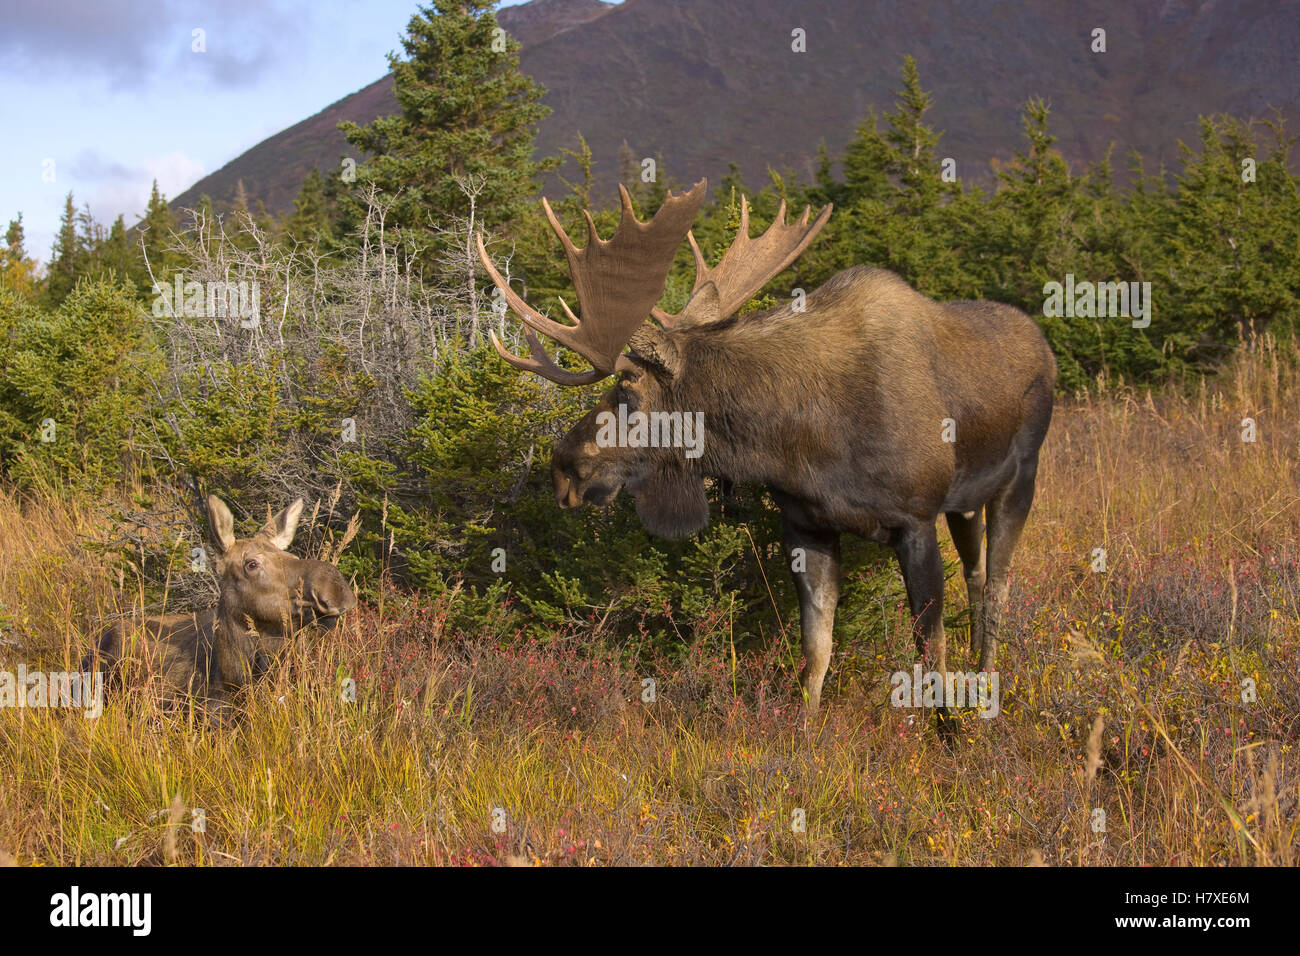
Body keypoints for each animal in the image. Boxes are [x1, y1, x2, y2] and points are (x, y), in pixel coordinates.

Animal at [478, 178, 1056, 715]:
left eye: (626, 389)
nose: (563, 466)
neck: (803, 439)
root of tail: (1046, 349)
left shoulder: (915, 520)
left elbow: (929, 648)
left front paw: (946, 731)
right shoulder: (806, 524)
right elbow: (816, 649)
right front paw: (805, 731)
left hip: (1020, 479)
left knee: (998, 586)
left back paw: (986, 691)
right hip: (965, 503)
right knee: (978, 577)